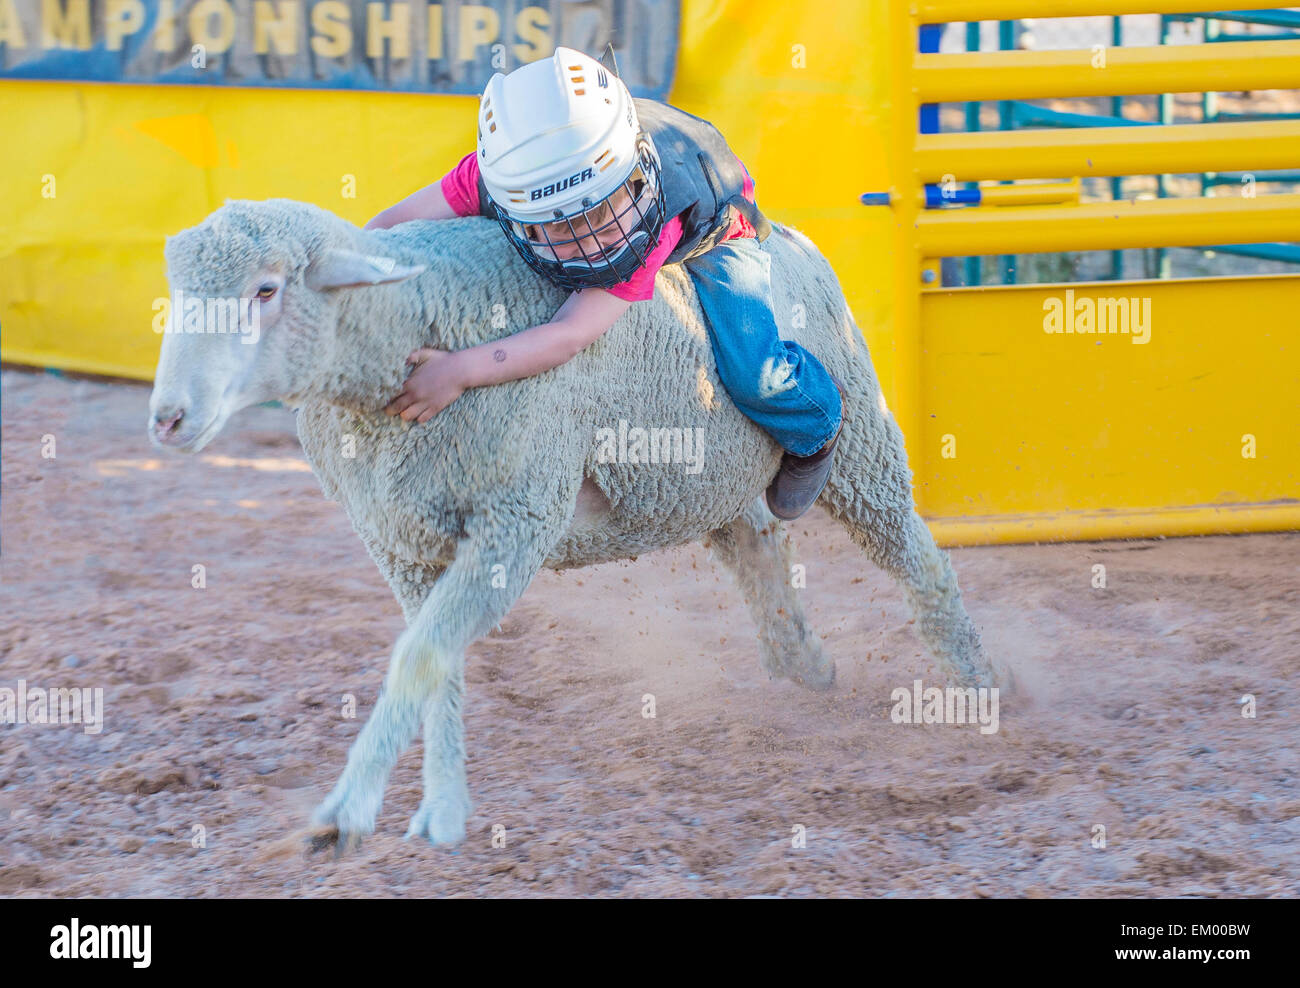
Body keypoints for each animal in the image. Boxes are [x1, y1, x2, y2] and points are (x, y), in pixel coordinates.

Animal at [148, 198, 1002, 849]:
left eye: (265, 291)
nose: (167, 418)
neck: (410, 328)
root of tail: (791, 236)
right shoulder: (403, 542)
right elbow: (436, 667)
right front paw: (443, 810)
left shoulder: (514, 519)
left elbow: (418, 660)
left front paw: (346, 811)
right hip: (704, 477)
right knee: (758, 544)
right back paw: (805, 662)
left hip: (859, 442)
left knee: (916, 557)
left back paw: (980, 686)